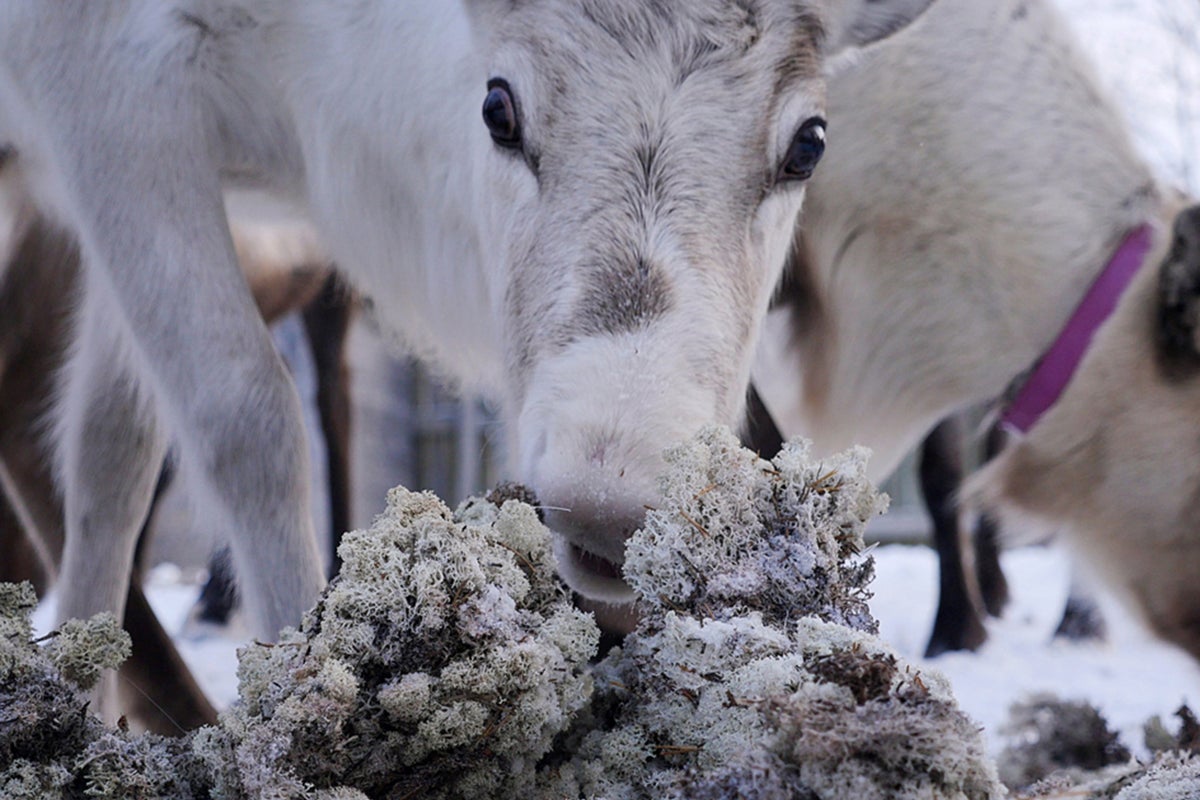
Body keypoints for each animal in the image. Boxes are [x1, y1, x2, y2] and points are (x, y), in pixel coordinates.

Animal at [0, 0, 937, 721]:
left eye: (809, 143)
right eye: (498, 108)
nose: (603, 504)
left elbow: (108, 456)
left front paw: (79, 707)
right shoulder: (110, 89)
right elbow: (246, 419)